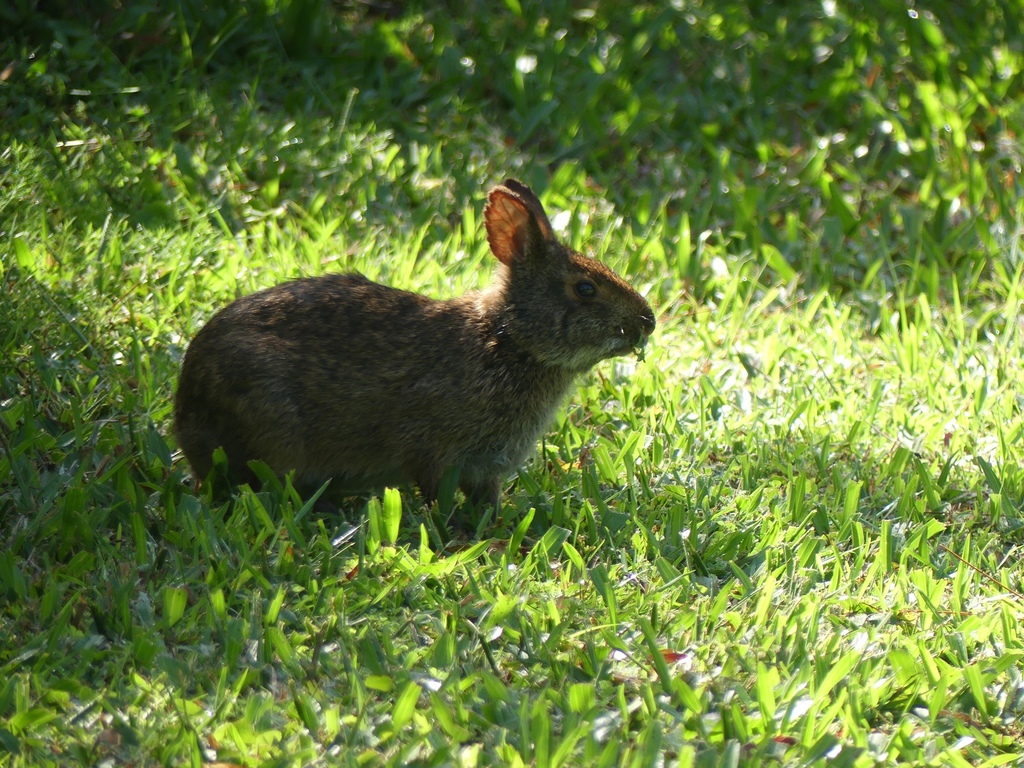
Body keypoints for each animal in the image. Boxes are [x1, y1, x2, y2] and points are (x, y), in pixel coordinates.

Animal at [173, 179, 655, 510]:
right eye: (585, 290)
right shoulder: (434, 449)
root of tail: (185, 413)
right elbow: (436, 491)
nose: (647, 322)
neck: (509, 340)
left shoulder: (485, 468)